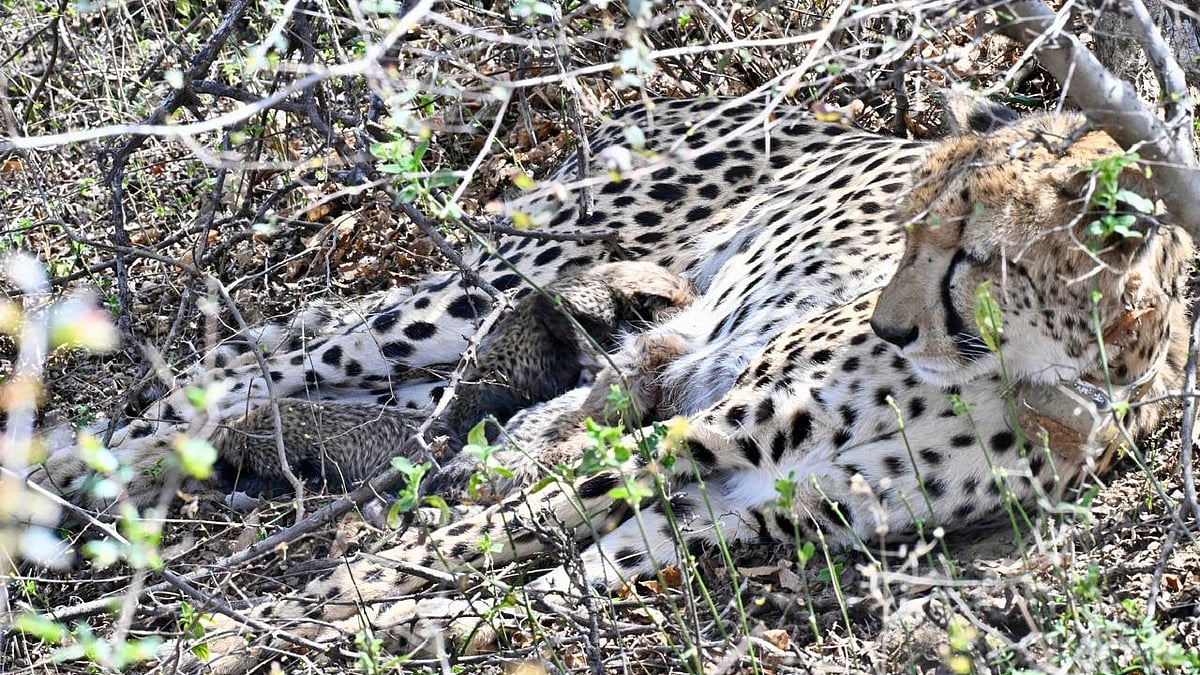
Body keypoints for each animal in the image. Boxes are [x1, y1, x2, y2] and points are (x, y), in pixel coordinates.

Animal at [143, 96, 1192, 673]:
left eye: (970, 253)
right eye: (903, 231)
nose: (889, 325)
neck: (1034, 376)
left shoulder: (754, 498)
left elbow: (547, 579)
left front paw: (418, 627)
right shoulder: (701, 435)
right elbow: (453, 546)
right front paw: (246, 634)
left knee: (413, 412)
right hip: (511, 269)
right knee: (257, 363)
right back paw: (134, 461)